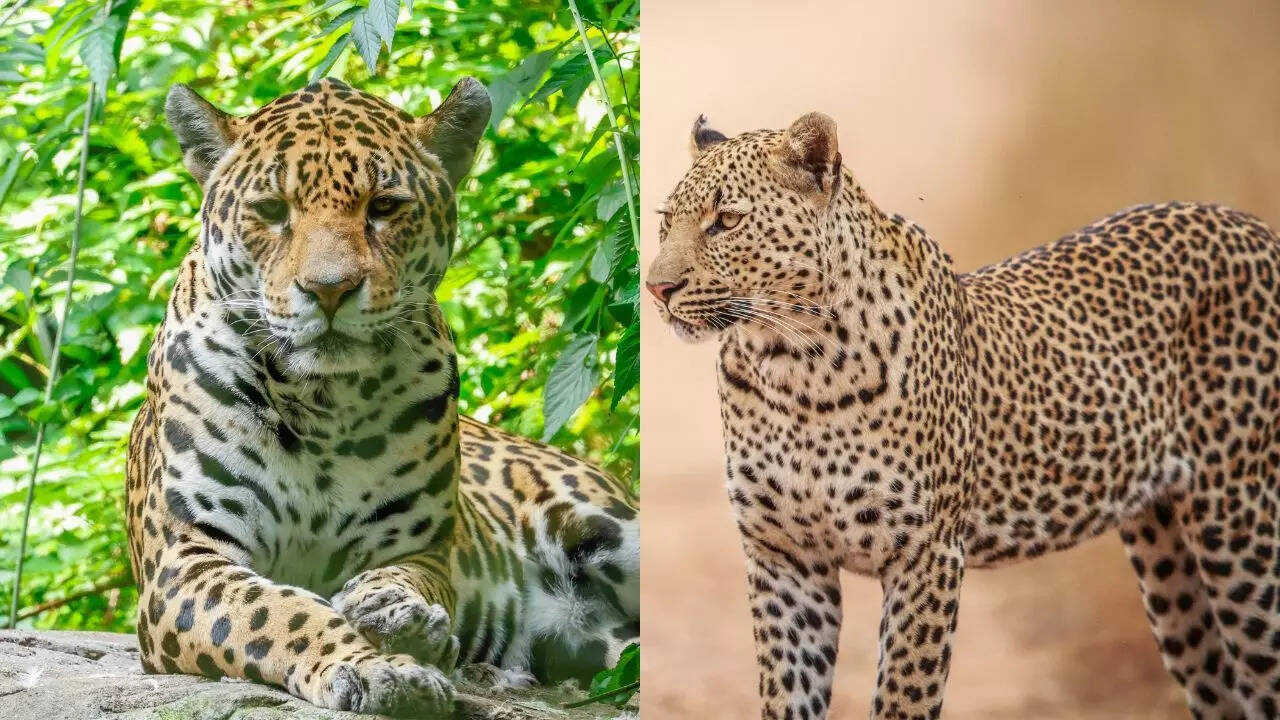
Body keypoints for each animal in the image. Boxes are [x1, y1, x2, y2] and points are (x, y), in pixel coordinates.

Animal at [125, 77, 639, 716]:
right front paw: (374, 667)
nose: (330, 289)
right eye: (272, 211)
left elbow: (400, 583)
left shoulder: (419, 551)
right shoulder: (185, 559)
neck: (319, 401)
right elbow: (280, 611)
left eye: (385, 207)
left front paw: (399, 618)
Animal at [646, 111, 1280, 720]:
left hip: (1240, 525)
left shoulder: (925, 554)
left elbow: (903, 698)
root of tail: (1254, 227)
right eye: (665, 221)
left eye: (727, 221)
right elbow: (786, 697)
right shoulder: (785, 558)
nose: (656, 289)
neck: (792, 367)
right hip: (1167, 558)